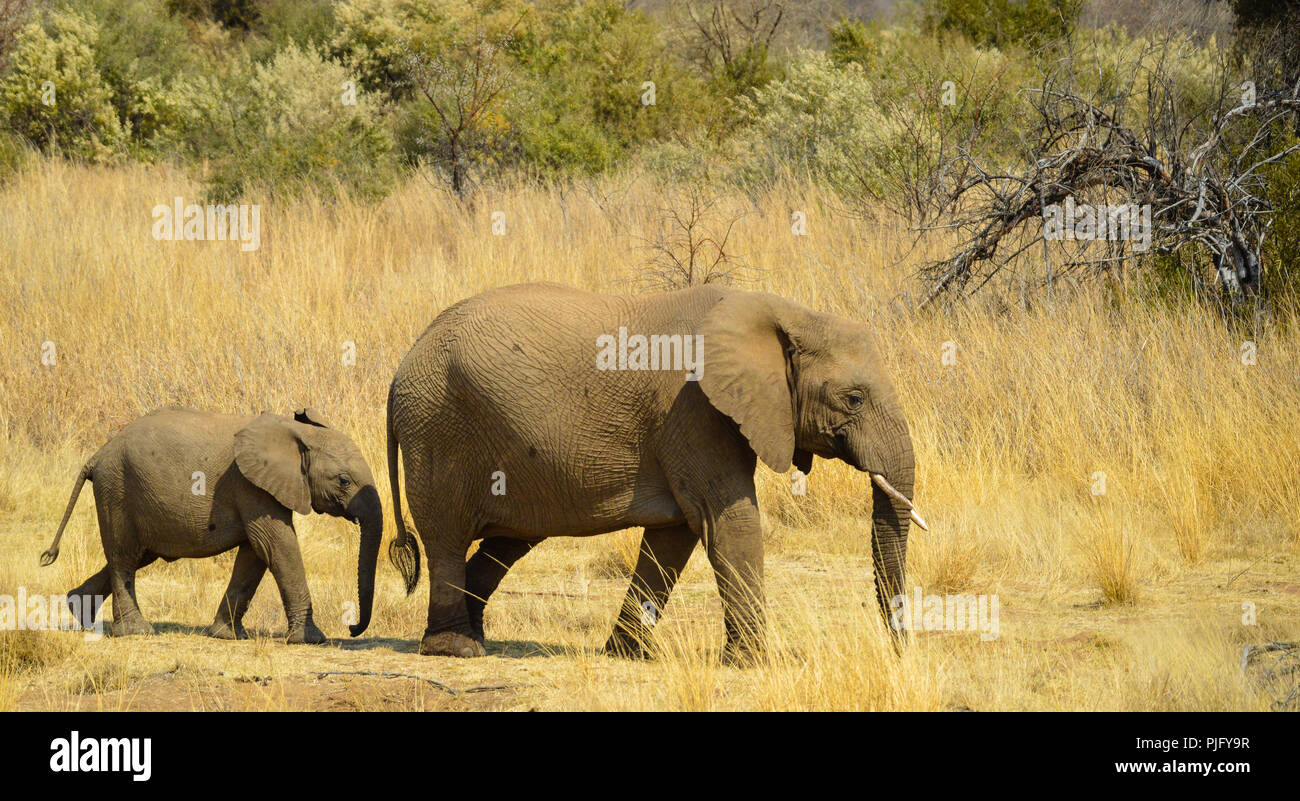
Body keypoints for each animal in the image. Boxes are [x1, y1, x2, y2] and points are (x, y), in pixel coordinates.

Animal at [38, 406, 384, 643]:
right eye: (343, 481)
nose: (352, 628)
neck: (296, 432)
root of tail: (97, 455)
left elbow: (254, 555)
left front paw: (226, 635)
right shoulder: (250, 485)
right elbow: (276, 545)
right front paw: (312, 640)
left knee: (136, 557)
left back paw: (79, 610)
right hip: (117, 489)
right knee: (124, 558)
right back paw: (135, 632)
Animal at [384, 282, 928, 661]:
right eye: (853, 399)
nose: (899, 651)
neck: (779, 311)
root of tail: (401, 367)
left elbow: (674, 535)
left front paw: (628, 655)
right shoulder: (694, 410)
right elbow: (727, 522)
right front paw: (756, 663)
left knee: (508, 540)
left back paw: (475, 635)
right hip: (438, 429)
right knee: (447, 537)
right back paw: (457, 649)